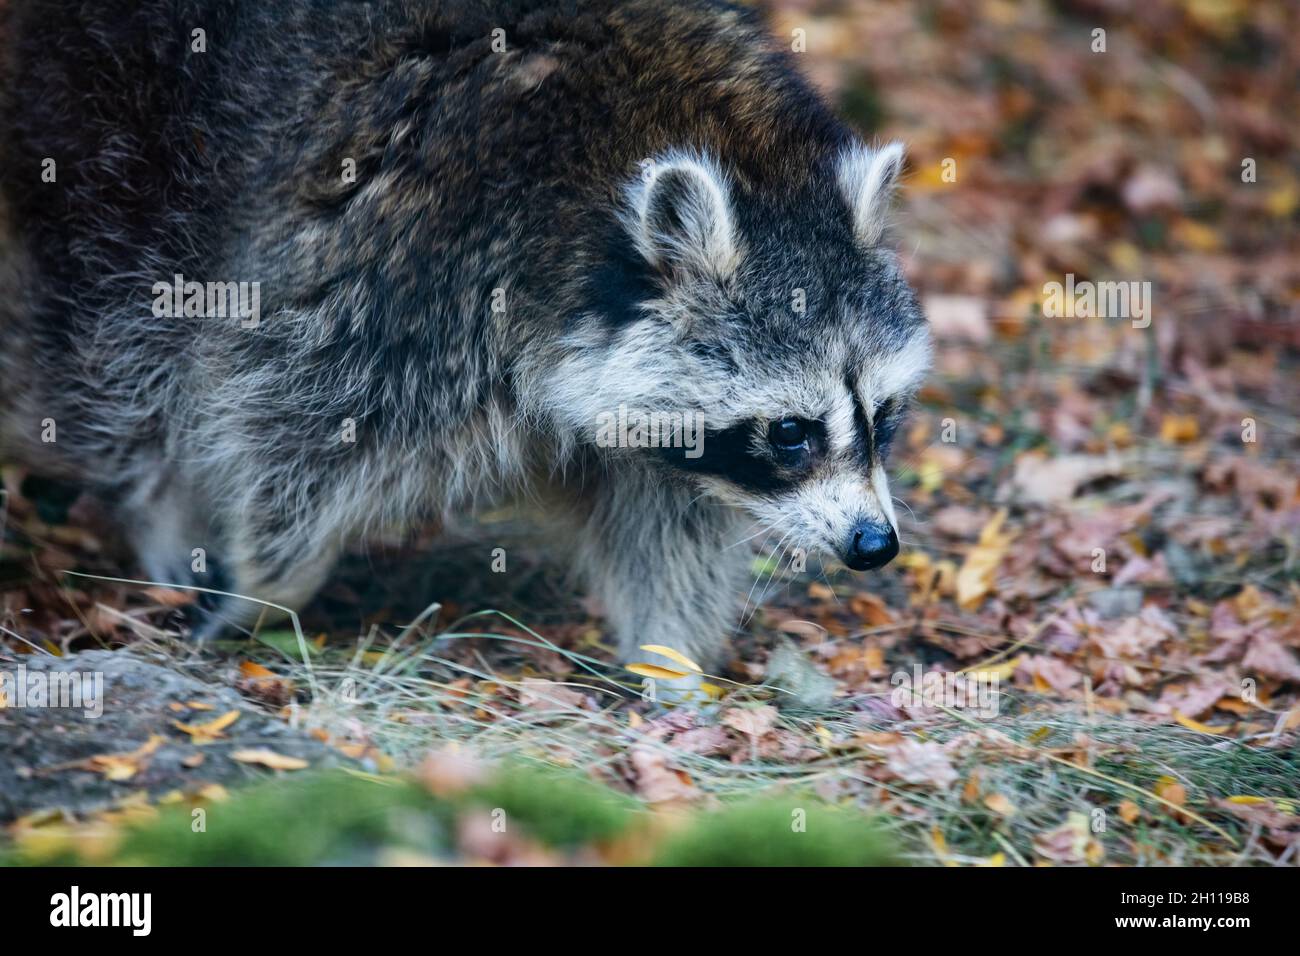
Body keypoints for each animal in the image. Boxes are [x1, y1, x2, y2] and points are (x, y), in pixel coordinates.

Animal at [0, 0, 930, 693]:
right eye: (792, 432)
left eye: (882, 416)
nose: (874, 545)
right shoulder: (413, 258)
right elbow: (294, 436)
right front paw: (266, 584)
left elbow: (666, 512)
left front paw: (669, 657)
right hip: (115, 145)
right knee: (115, 341)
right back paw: (161, 517)